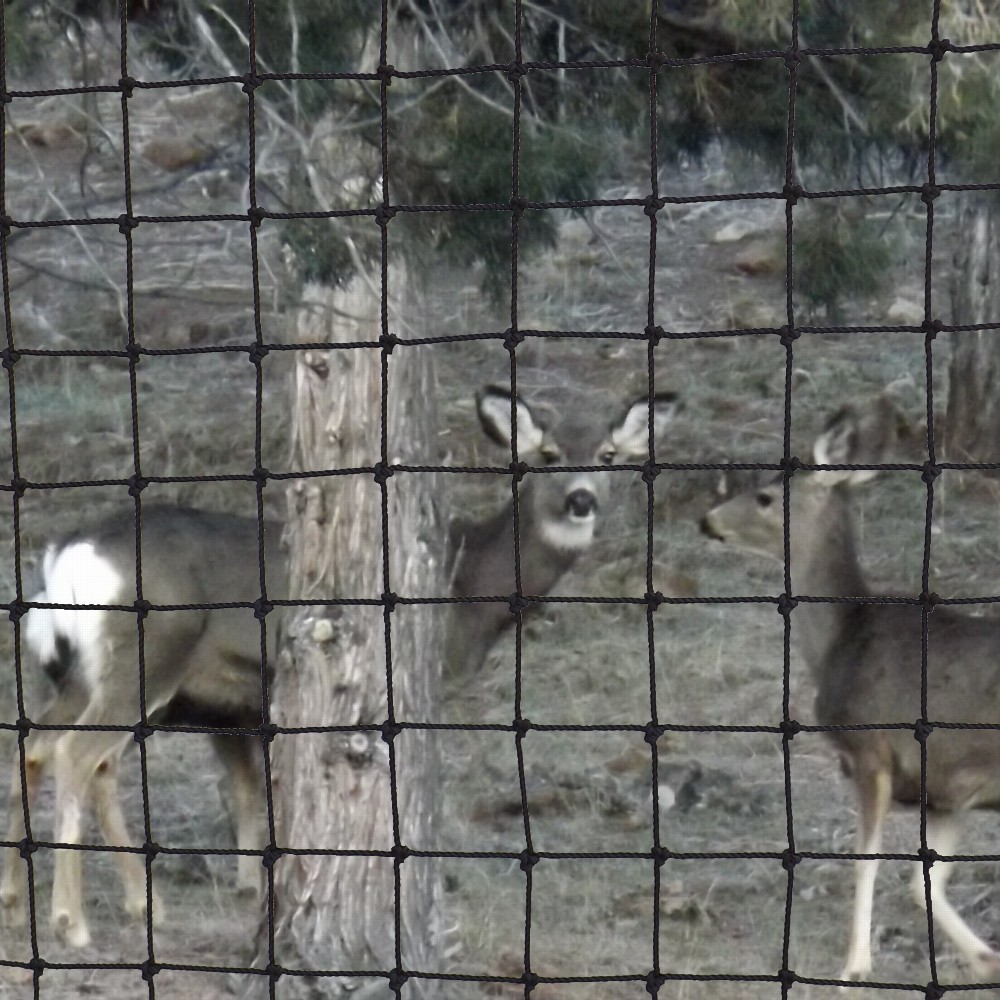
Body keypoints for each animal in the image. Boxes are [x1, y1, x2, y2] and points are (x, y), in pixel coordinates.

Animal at [1, 505, 283, 949]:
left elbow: (249, 787)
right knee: (75, 755)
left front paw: (251, 886)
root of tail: (66, 555)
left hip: (82, 680)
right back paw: (71, 920)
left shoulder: (234, 714)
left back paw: (15, 903)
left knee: (36, 747)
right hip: (145, 666)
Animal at [700, 397, 1000, 983]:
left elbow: (869, 862)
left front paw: (854, 966)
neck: (842, 636)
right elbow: (922, 886)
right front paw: (986, 960)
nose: (707, 520)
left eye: (764, 496)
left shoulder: (872, 751)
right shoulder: (947, 791)